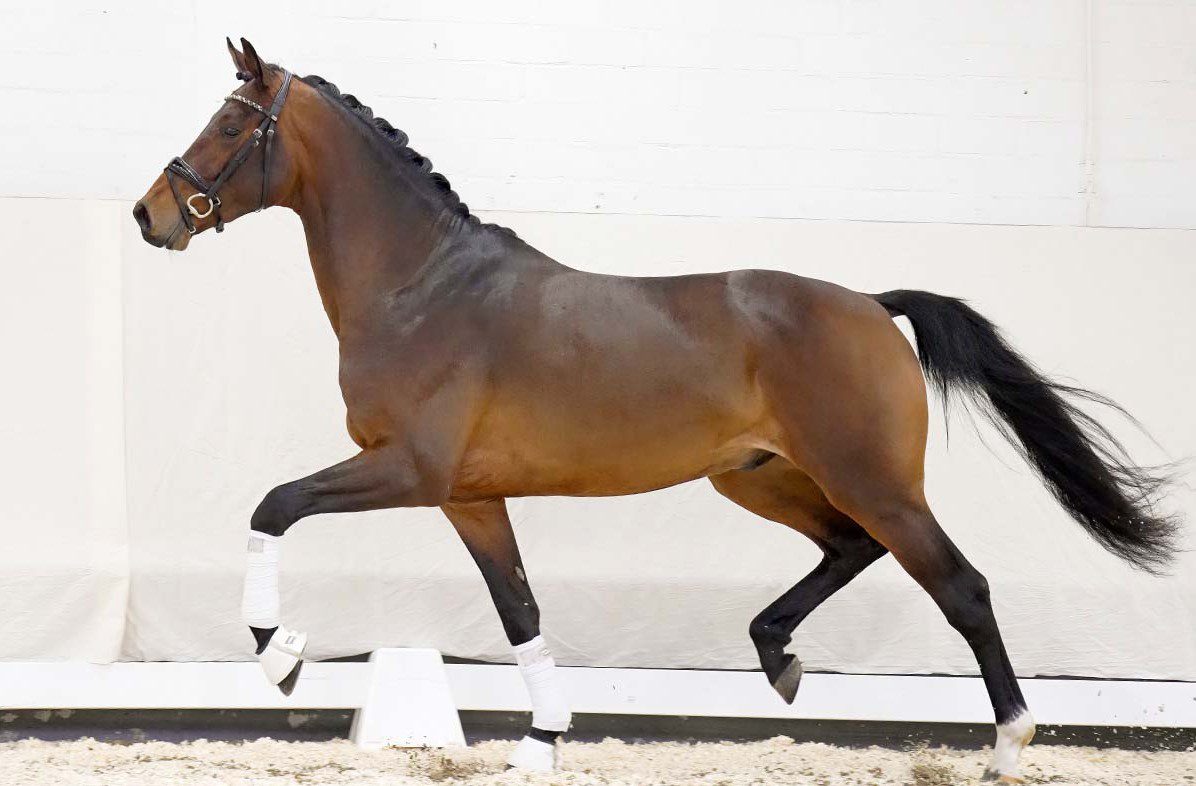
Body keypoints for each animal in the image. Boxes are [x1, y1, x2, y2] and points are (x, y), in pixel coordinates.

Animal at [133, 38, 1179, 781]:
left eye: (231, 123)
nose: (152, 215)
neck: (423, 288)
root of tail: (872, 305)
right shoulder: (468, 496)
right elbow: (518, 608)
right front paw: (541, 744)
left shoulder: (408, 470)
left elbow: (273, 506)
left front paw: (280, 656)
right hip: (759, 480)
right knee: (851, 550)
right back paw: (779, 659)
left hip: (872, 481)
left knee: (960, 586)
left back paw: (1008, 742)